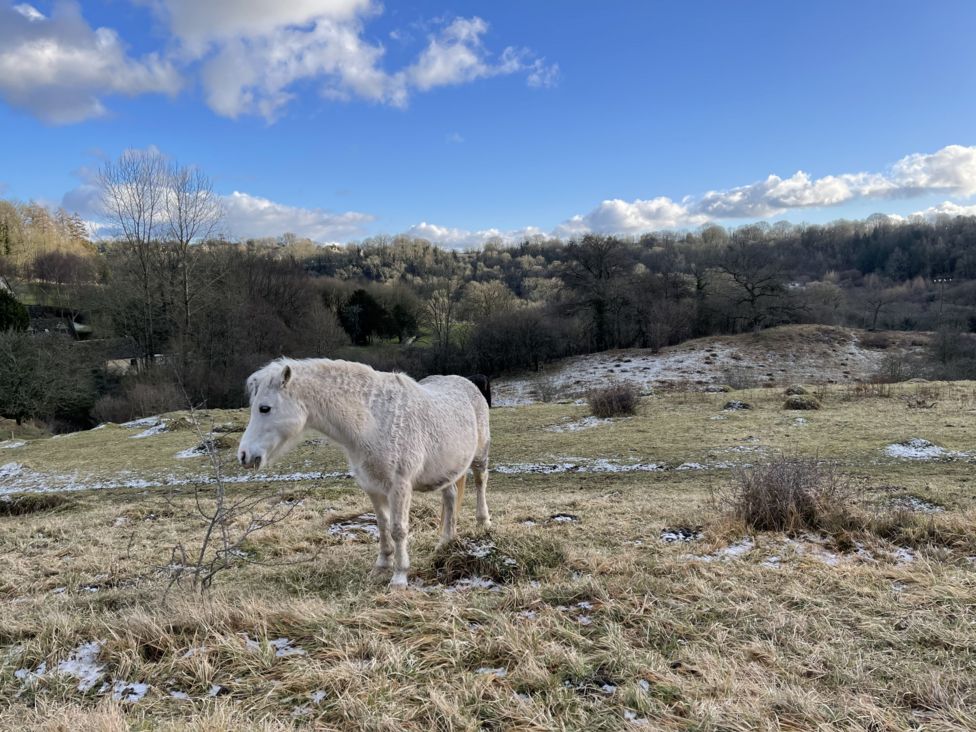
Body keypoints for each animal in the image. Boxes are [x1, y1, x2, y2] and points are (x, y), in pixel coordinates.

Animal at [238, 358, 491, 589]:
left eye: (265, 408)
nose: (244, 455)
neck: (374, 422)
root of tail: (466, 382)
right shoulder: (372, 487)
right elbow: (382, 526)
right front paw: (382, 565)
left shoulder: (399, 487)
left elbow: (398, 529)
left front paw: (399, 577)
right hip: (446, 470)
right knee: (450, 498)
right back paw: (444, 542)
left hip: (479, 457)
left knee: (480, 483)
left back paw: (483, 523)